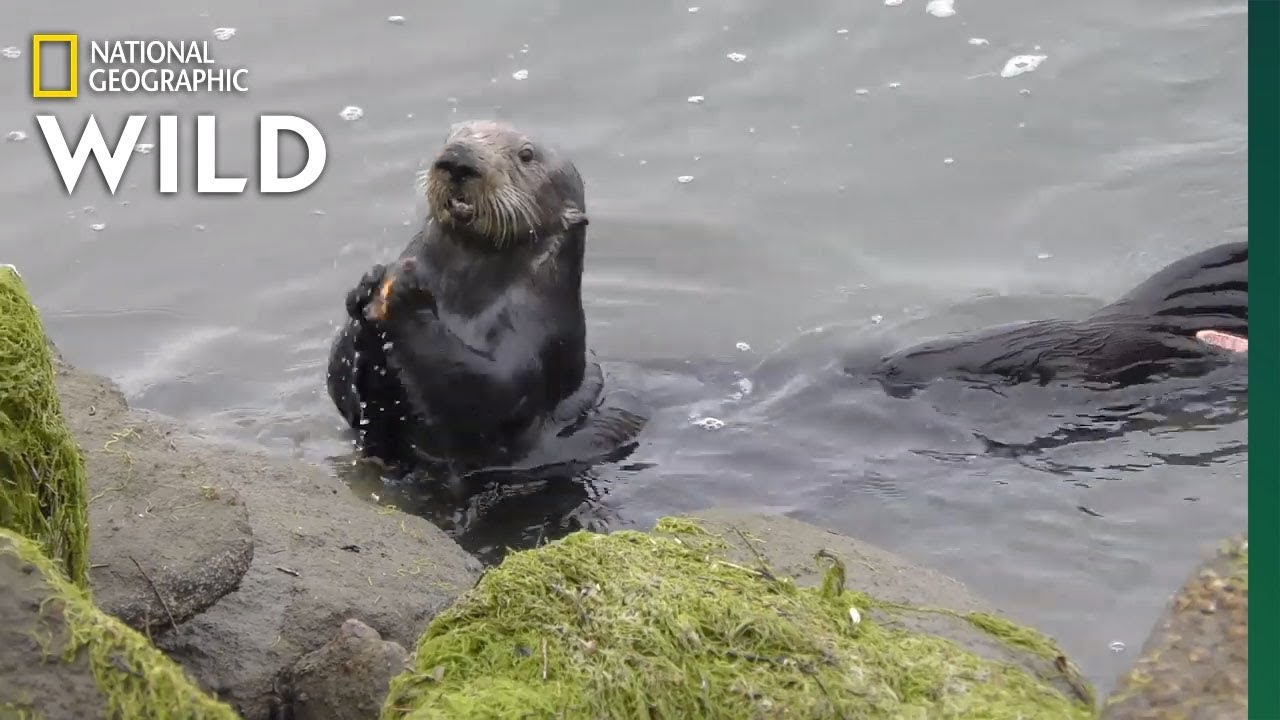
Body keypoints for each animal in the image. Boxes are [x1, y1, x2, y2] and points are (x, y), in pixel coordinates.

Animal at [326, 120, 628, 477]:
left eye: (527, 154)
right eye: (451, 135)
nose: (458, 158)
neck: (461, 303)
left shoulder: (540, 334)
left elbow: (492, 392)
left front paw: (406, 296)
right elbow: (341, 384)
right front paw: (368, 285)